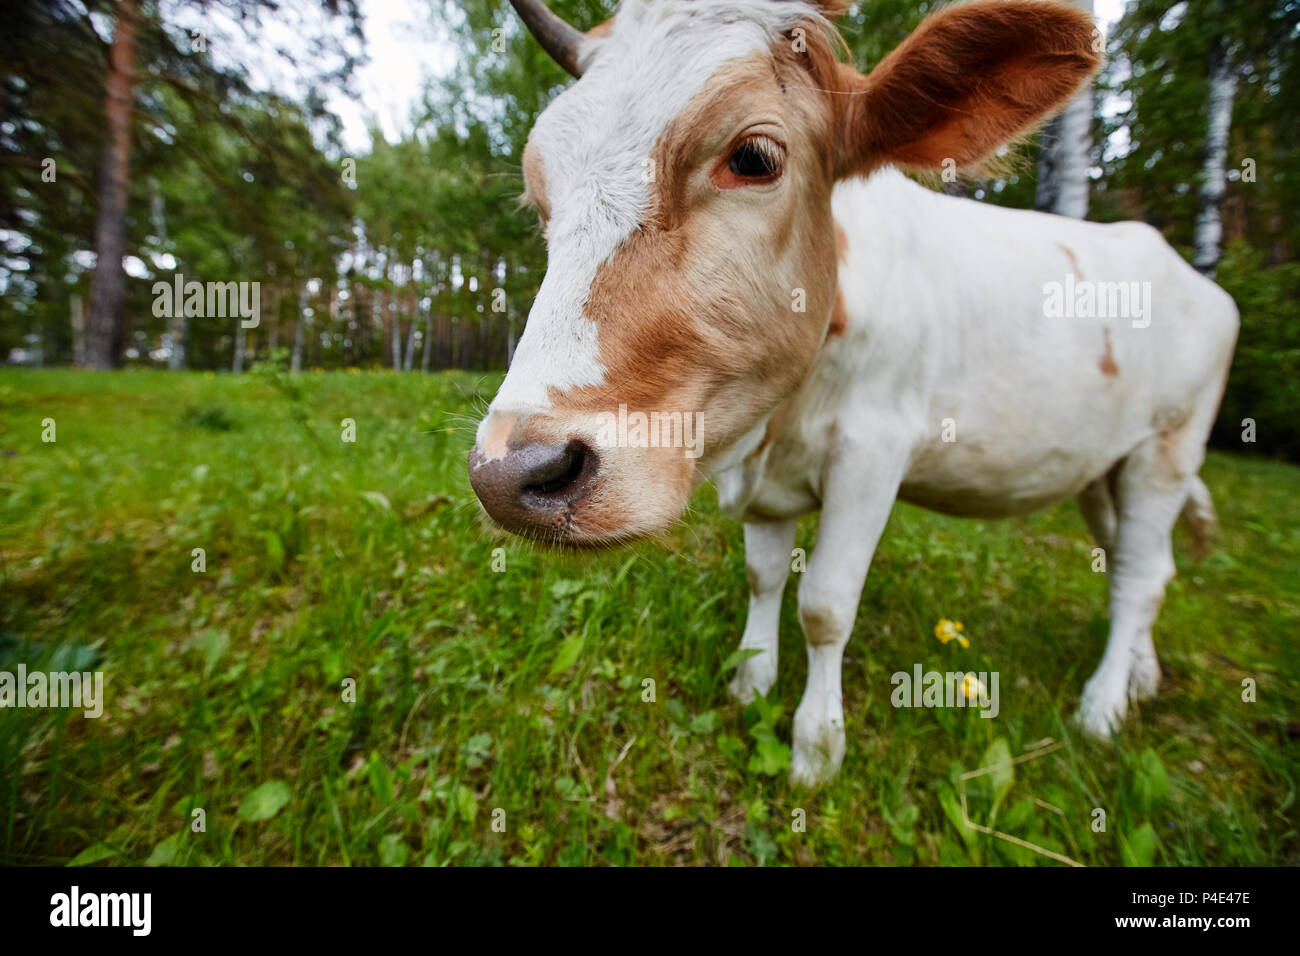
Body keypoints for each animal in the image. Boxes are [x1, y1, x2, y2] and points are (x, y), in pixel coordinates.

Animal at [467, 0, 1240, 785]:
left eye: (755, 157)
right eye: (541, 197)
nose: (510, 472)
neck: (782, 422)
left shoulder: (874, 452)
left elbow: (825, 605)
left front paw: (816, 748)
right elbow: (763, 576)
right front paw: (751, 683)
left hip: (1166, 452)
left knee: (1140, 576)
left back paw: (1102, 708)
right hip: (1104, 465)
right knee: (1140, 563)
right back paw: (1140, 677)